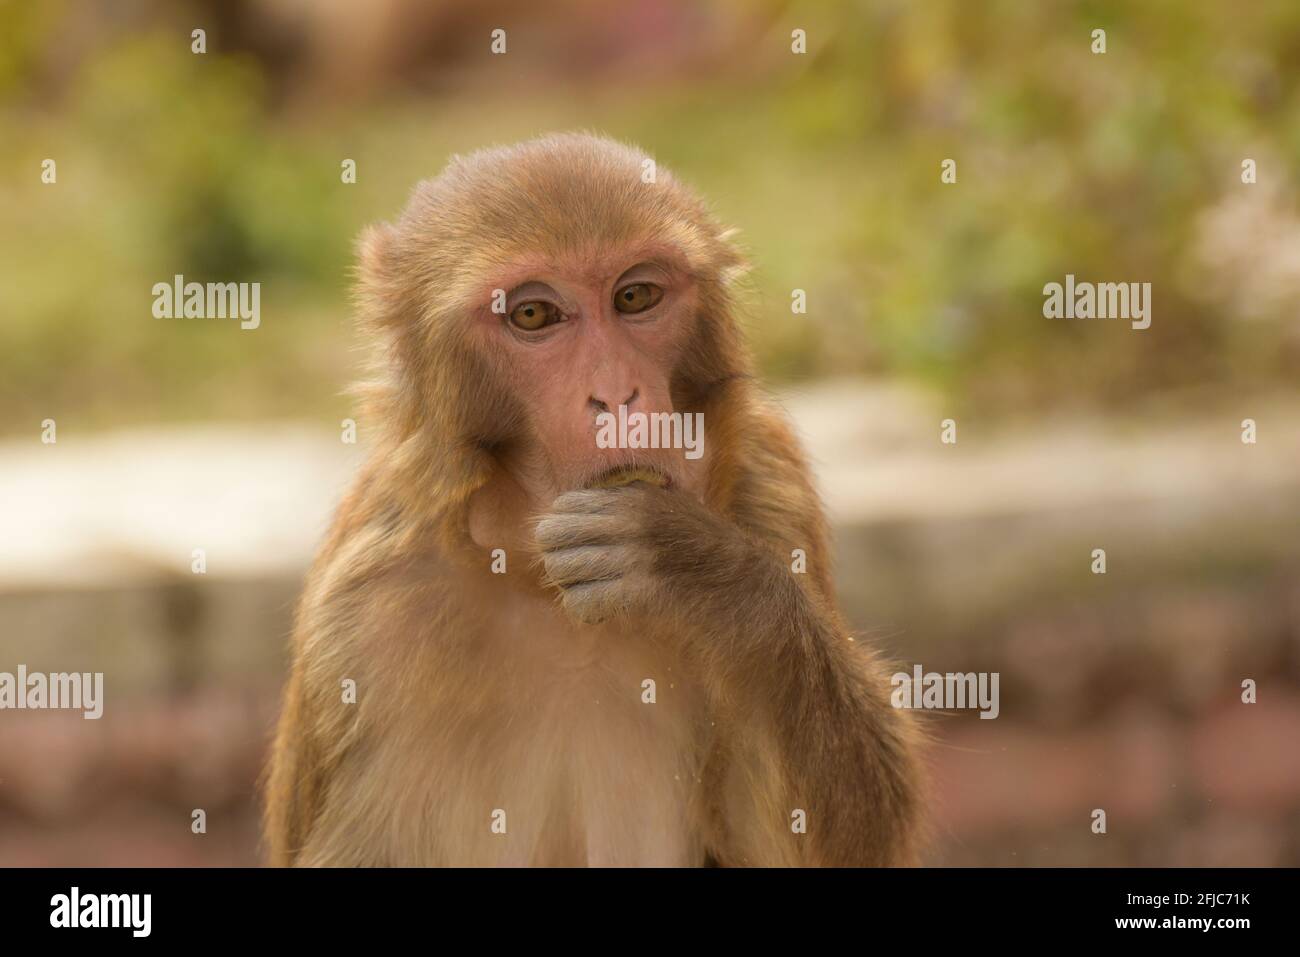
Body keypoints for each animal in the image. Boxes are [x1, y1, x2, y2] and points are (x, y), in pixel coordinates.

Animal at [264, 132, 923, 866]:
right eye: (532, 314)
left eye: (634, 296)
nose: (616, 394)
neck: (544, 581)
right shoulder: (363, 616)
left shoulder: (771, 485)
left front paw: (700, 574)